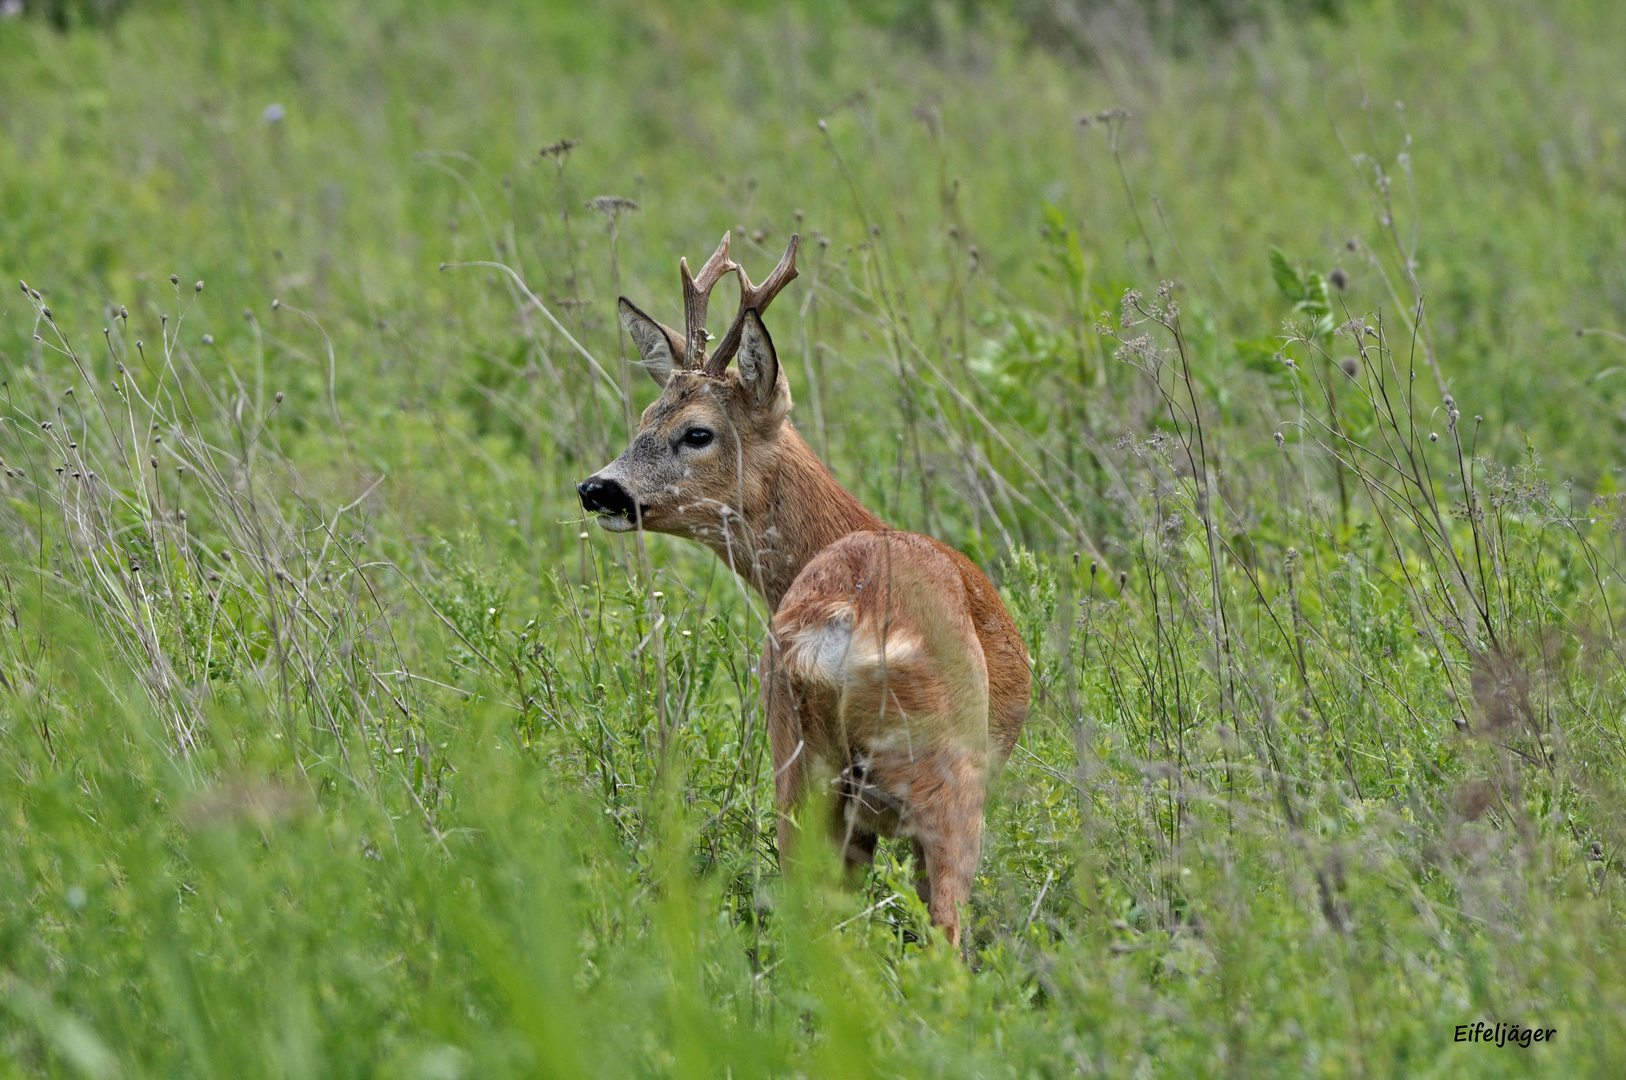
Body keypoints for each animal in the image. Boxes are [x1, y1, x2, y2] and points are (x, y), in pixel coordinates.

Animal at [575, 229, 1027, 943]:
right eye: (646, 417)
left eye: (694, 431)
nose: (598, 488)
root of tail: (848, 616)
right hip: (944, 767)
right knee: (944, 931)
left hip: (797, 757)